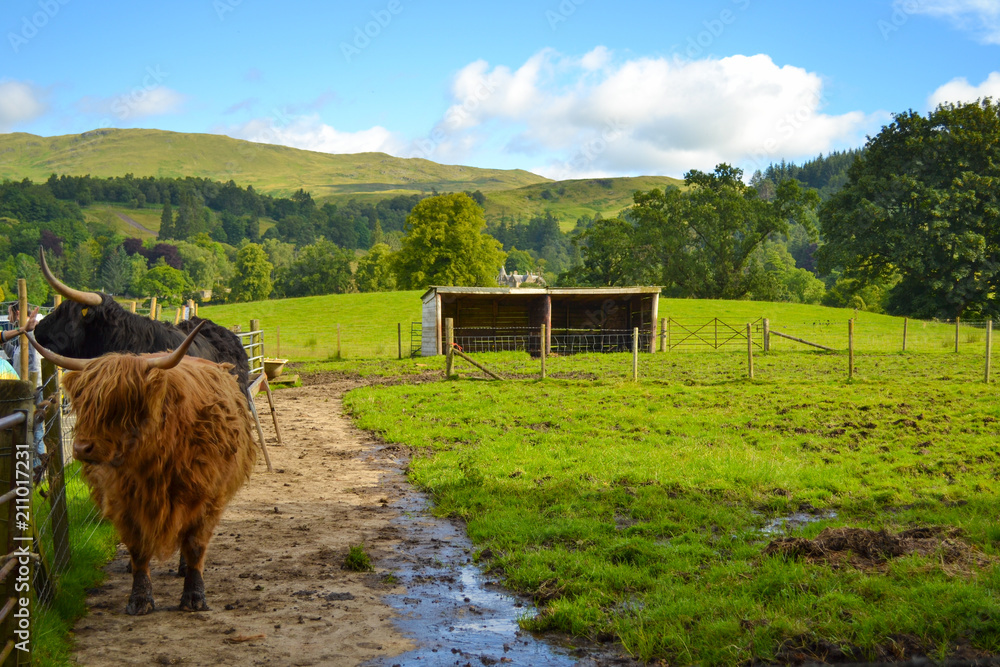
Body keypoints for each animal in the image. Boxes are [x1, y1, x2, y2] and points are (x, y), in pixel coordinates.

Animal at [29, 323, 256, 615]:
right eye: (82, 402)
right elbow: (138, 549)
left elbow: (195, 544)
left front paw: (194, 596)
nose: (81, 448)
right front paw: (139, 598)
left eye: (120, 403)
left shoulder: (208, 495)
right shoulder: (123, 500)